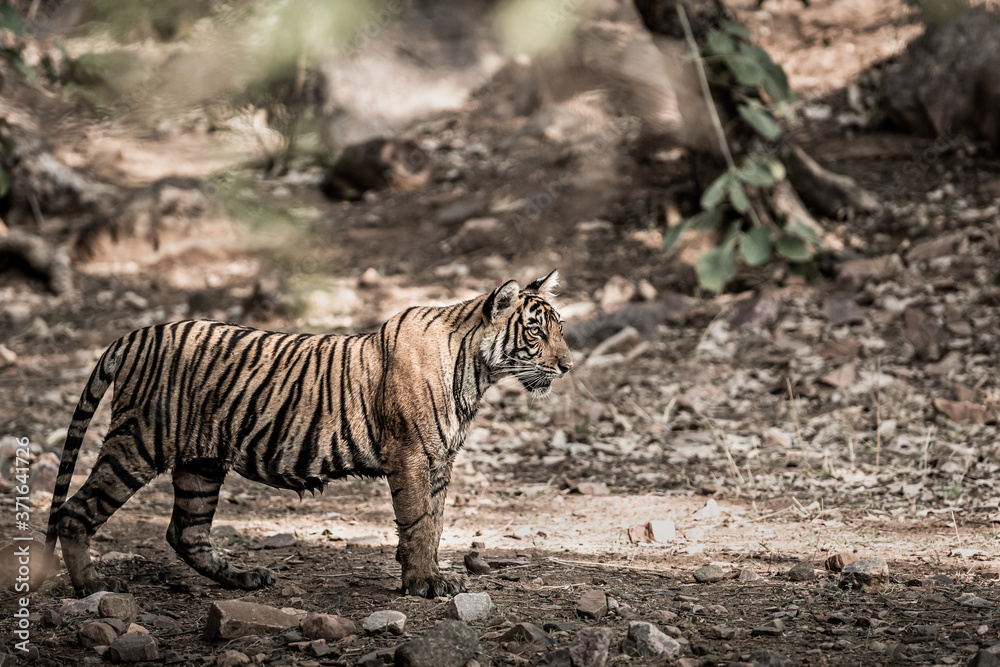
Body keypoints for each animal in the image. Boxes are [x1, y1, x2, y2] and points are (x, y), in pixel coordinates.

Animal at [42, 271, 572, 598]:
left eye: (560, 328)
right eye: (535, 332)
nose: (568, 365)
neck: (476, 371)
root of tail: (136, 334)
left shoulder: (440, 461)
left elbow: (435, 522)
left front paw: (421, 573)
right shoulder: (412, 457)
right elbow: (420, 520)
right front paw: (425, 582)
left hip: (201, 462)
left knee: (186, 532)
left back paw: (245, 578)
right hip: (139, 442)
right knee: (74, 511)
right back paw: (93, 586)